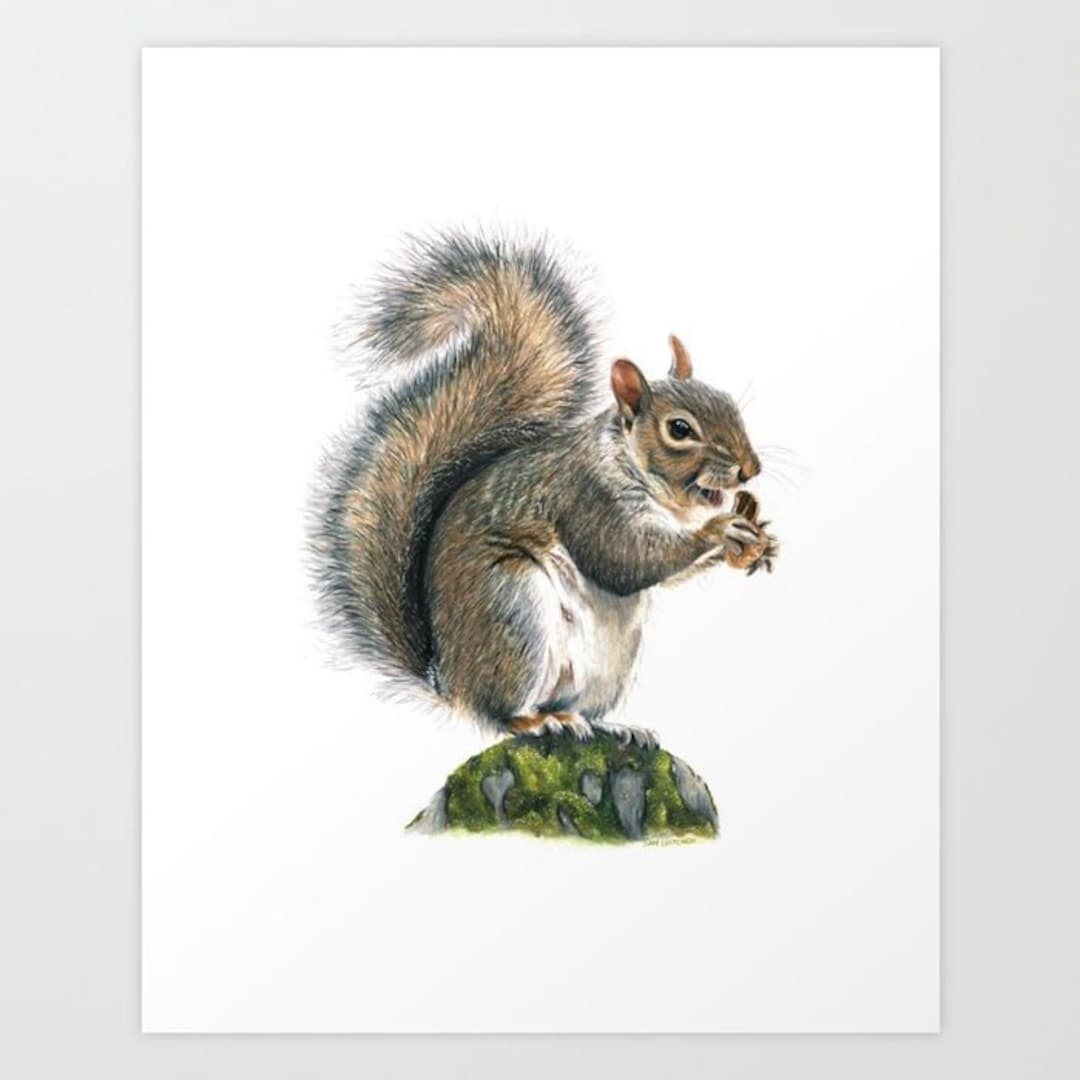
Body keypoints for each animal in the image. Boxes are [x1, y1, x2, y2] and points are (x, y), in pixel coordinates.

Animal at [311, 232, 778, 746]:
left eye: (729, 402)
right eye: (679, 429)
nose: (749, 469)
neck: (638, 474)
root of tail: (448, 683)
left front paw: (751, 543)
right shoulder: (585, 496)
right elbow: (625, 559)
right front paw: (721, 530)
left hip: (608, 664)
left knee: (576, 708)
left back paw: (610, 726)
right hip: (513, 612)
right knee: (501, 714)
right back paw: (537, 720)